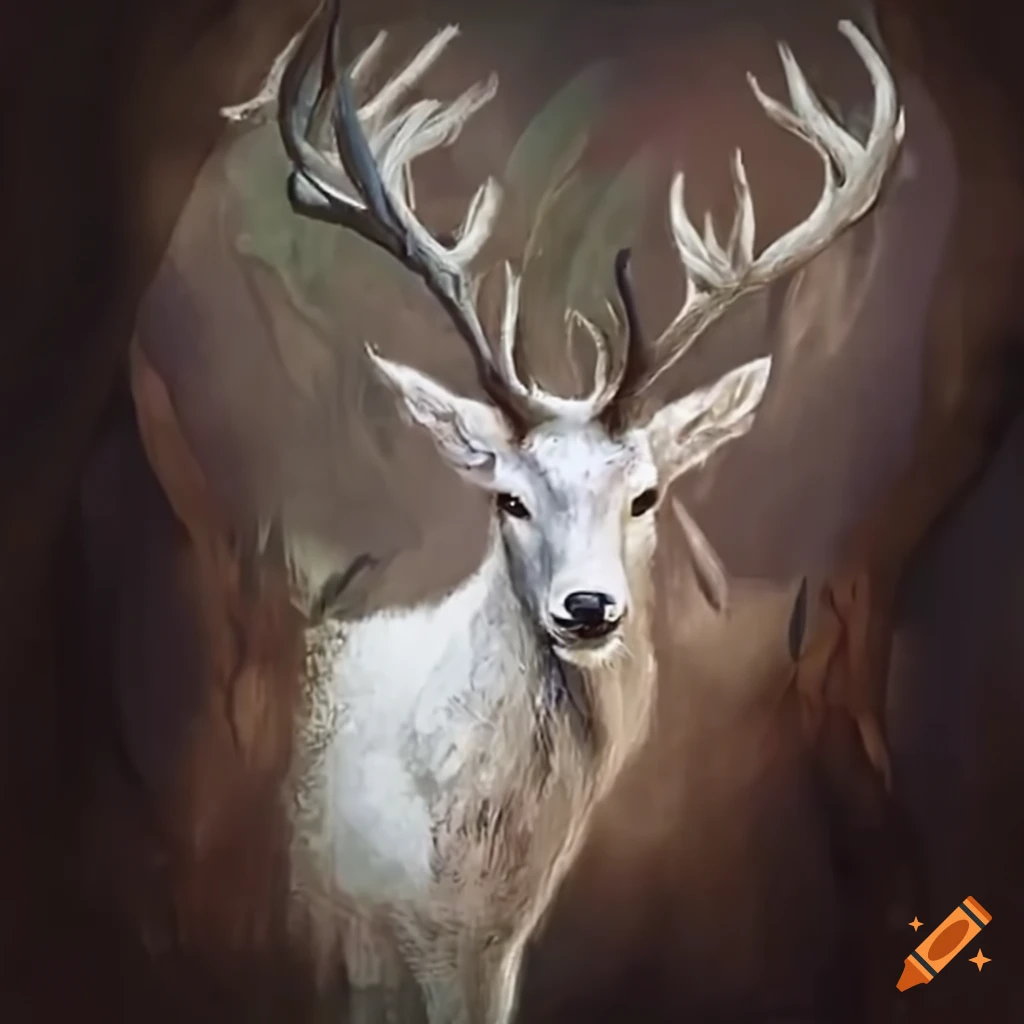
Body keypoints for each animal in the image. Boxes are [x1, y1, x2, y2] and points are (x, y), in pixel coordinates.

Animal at [222, 3, 904, 1021]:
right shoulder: (355, 934)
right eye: (508, 498)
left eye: (646, 494)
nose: (587, 608)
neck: (457, 886)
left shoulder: (488, 956)